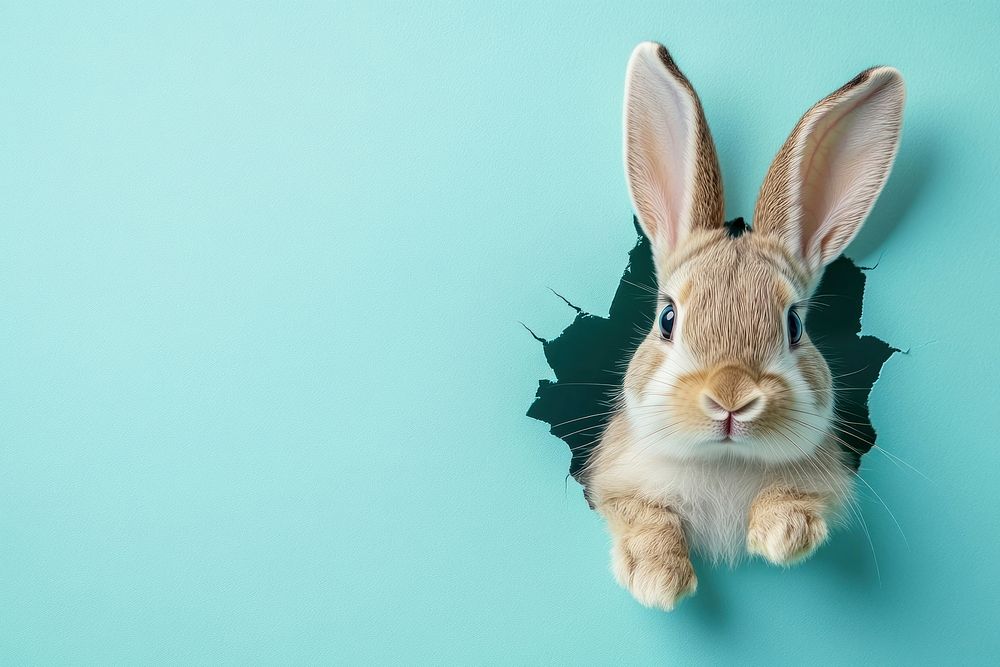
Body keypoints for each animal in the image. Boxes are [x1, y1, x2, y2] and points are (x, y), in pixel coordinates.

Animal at [585, 42, 905, 611]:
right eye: (667, 319)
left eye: (794, 325)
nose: (730, 397)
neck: (724, 461)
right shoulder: (617, 483)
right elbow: (645, 518)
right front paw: (659, 581)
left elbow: (797, 496)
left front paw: (781, 536)